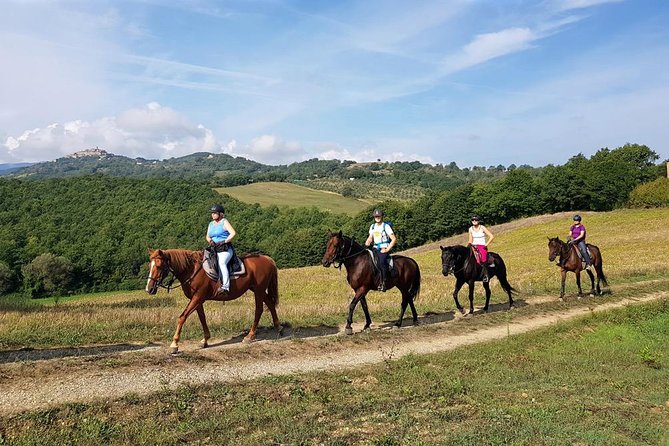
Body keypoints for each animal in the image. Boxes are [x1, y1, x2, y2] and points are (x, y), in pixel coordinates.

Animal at [146, 249, 283, 353]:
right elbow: (202, 318)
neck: (192, 270)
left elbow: (182, 317)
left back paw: (249, 336)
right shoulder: (197, 299)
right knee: (270, 304)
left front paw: (174, 344)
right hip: (257, 289)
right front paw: (205, 340)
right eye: (149, 266)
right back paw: (278, 328)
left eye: (159, 266)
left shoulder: (197, 297)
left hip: (259, 290)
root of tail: (267, 259)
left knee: (259, 310)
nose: (149, 289)